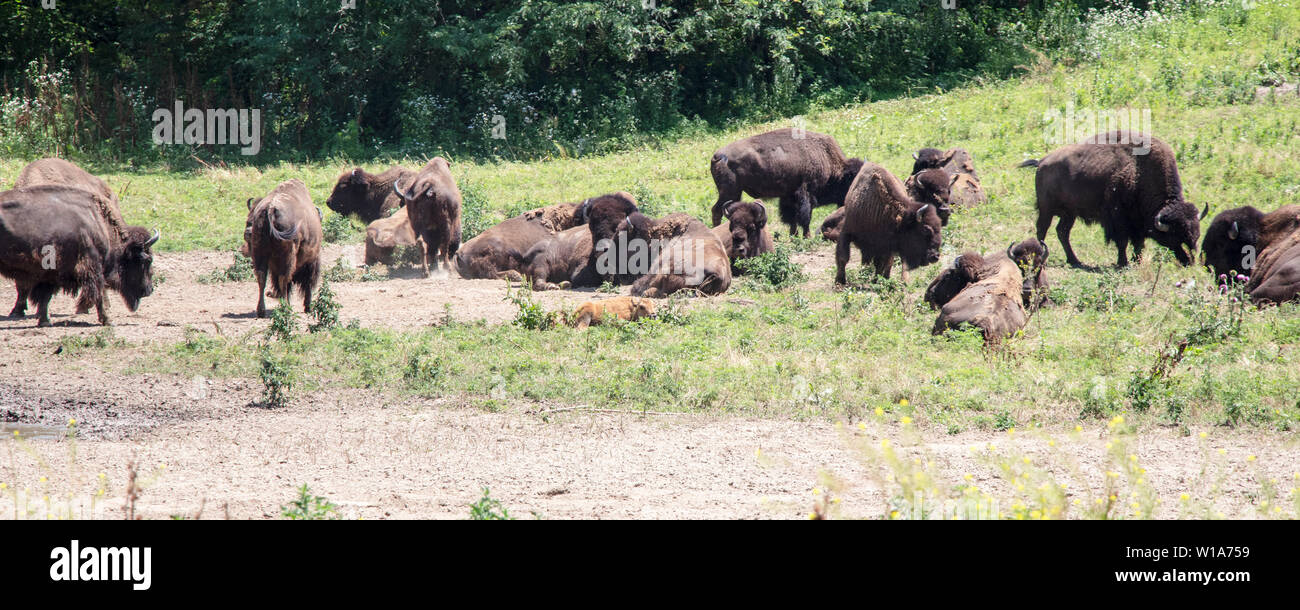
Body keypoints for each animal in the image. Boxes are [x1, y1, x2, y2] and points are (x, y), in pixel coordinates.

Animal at [0, 185, 158, 326]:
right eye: (147, 260)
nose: (149, 290)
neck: (97, 224)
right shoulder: (92, 269)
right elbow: (98, 294)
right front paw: (108, 321)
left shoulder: (50, 275)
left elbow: (45, 297)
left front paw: (45, 322)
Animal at [244, 179, 322, 317]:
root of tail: (270, 209)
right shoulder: (312, 260)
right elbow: (308, 283)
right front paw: (308, 306)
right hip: (289, 254)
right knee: (284, 278)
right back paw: (286, 307)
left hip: (260, 252)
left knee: (261, 277)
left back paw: (261, 311)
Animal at [709, 128, 864, 238]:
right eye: (850, 182)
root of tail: (717, 156)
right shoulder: (806, 194)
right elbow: (805, 217)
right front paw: (806, 236)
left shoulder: (789, 196)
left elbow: (791, 217)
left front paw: (793, 235)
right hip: (730, 192)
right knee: (717, 210)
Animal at [1020, 131, 1206, 268]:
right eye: (1175, 235)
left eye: (1197, 236)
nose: (1189, 261)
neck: (1141, 171)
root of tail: (1042, 162)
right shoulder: (1118, 219)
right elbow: (1122, 241)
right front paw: (1123, 262)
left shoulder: (1138, 222)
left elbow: (1138, 243)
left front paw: (1136, 261)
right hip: (1047, 209)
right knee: (1042, 230)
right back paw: (1042, 257)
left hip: (1069, 214)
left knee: (1062, 232)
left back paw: (1075, 261)